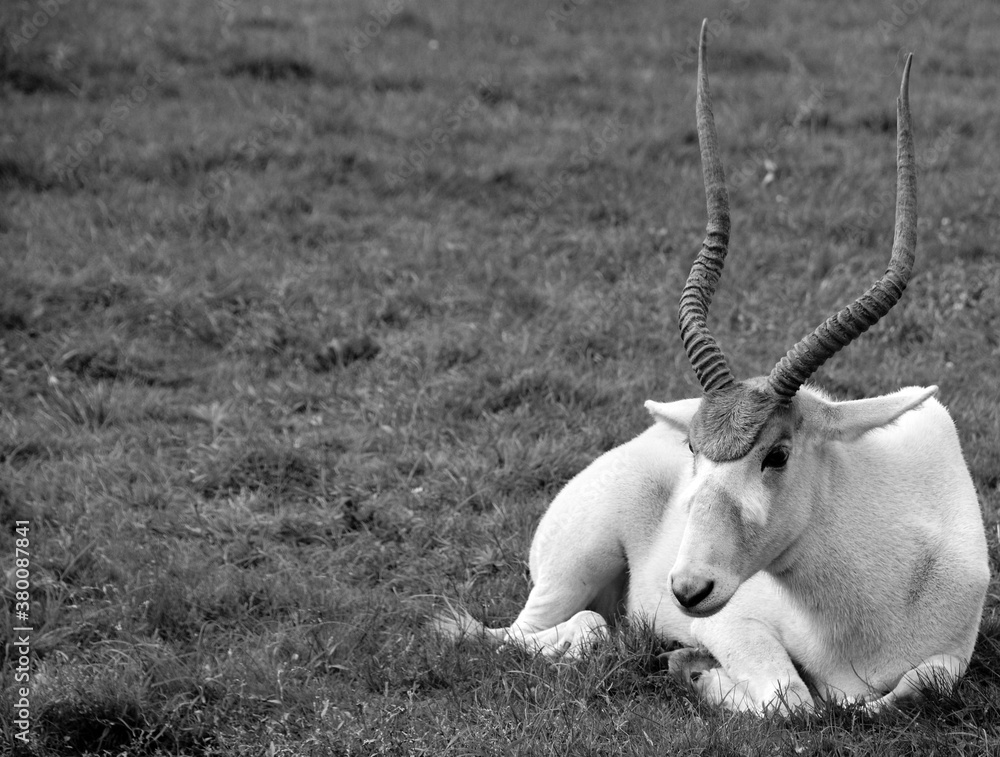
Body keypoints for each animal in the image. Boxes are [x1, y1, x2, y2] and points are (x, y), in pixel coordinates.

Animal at [437, 22, 991, 714]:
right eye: (694, 450)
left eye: (777, 453)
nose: (687, 589)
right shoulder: (737, 622)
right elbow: (791, 699)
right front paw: (694, 667)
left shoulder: (953, 652)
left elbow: (913, 686)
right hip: (571, 572)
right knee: (534, 631)